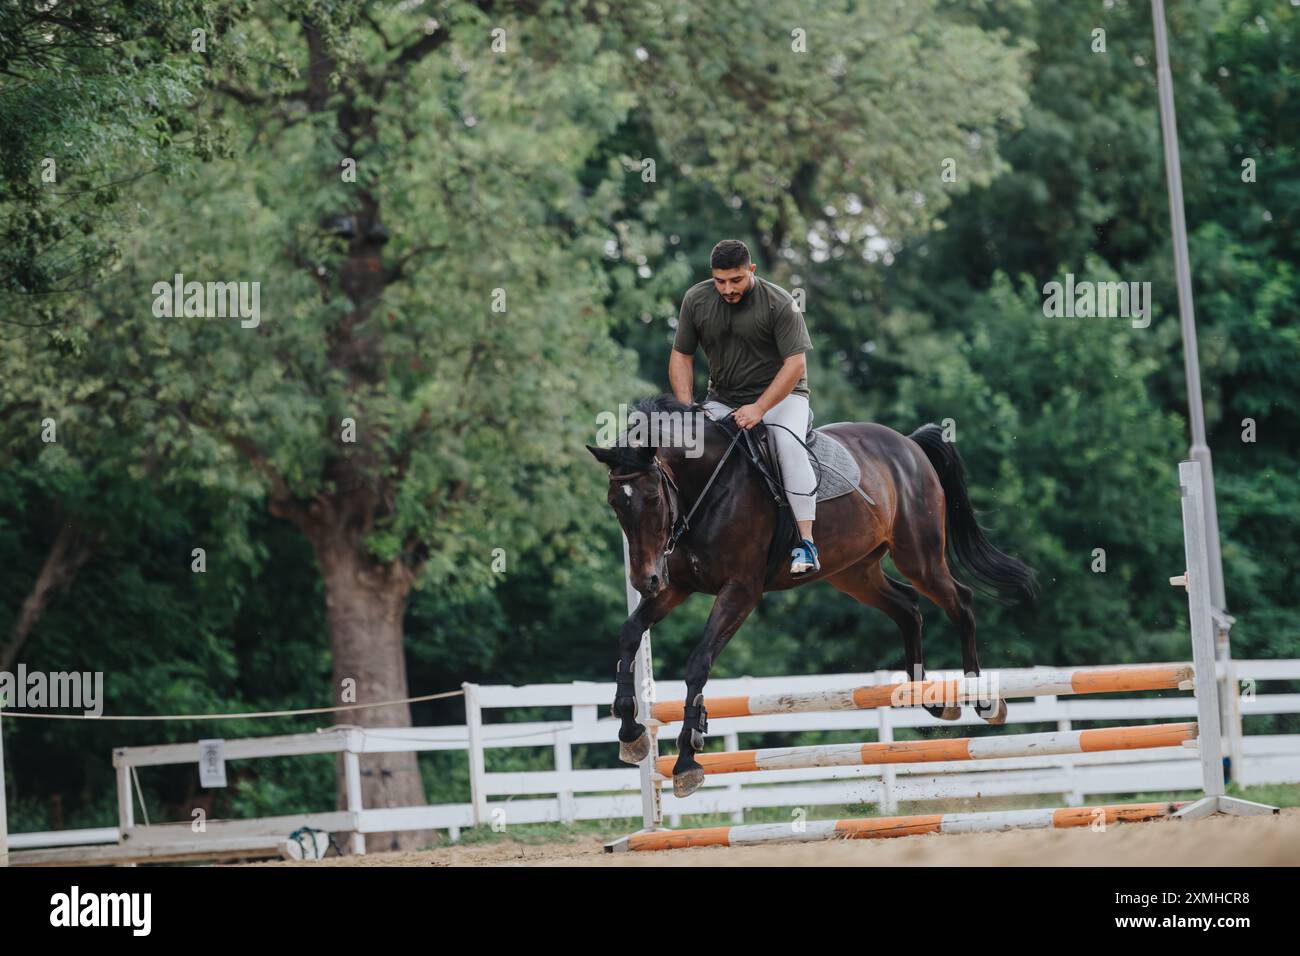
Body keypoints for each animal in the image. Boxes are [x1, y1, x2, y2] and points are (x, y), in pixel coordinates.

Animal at [587, 395, 1038, 798]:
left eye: (652, 498)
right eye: (614, 504)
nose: (645, 580)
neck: (705, 485)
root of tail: (908, 444)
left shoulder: (741, 590)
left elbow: (699, 662)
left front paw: (686, 760)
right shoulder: (677, 586)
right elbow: (630, 633)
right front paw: (630, 731)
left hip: (918, 557)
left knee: (959, 602)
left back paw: (981, 698)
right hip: (854, 572)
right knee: (908, 607)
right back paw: (926, 697)